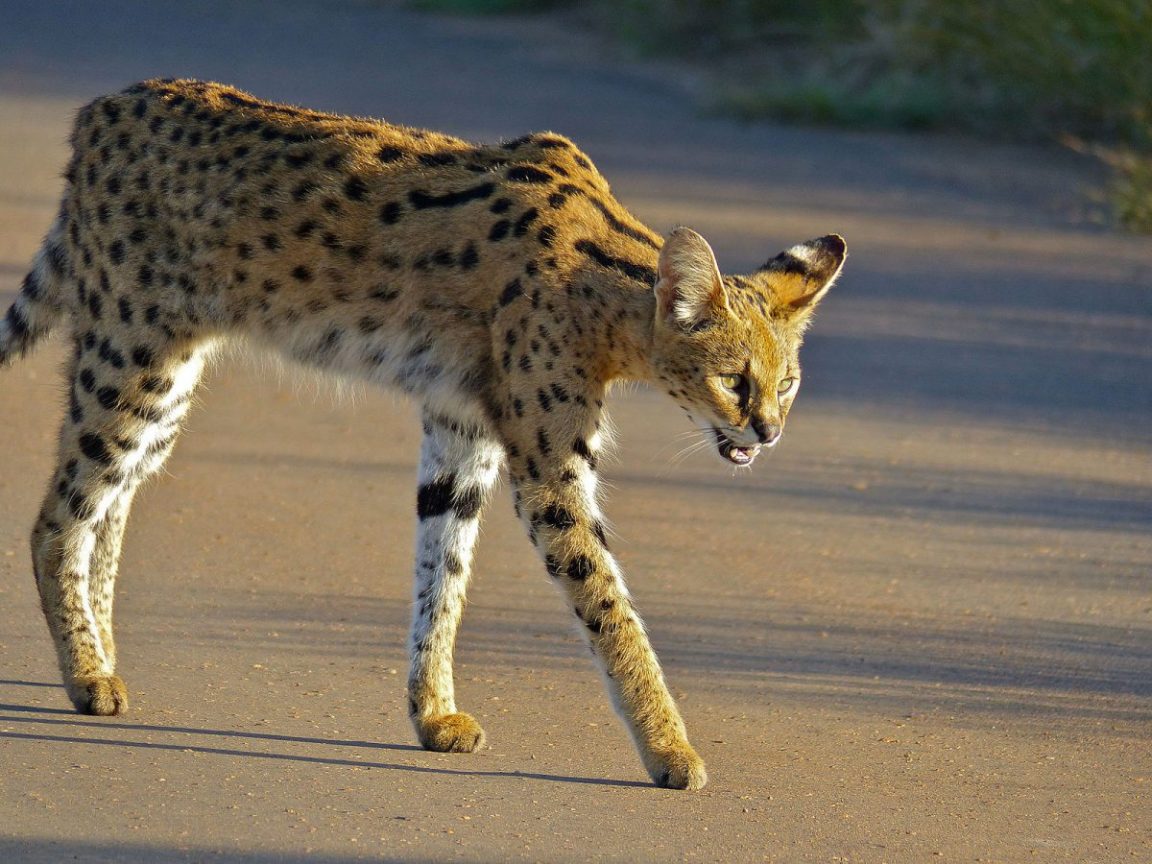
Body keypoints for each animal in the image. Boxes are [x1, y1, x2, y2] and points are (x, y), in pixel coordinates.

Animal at [0, 79, 845, 790]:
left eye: (788, 385)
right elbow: (608, 605)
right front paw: (671, 748)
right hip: (129, 358)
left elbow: (443, 576)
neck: (607, 301)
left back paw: (102, 650)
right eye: (733, 380)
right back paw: (85, 673)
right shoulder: (548, 466)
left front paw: (432, 713)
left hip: (166, 374)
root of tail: (102, 107)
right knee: (54, 517)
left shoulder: (463, 431)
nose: (768, 431)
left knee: (109, 503)